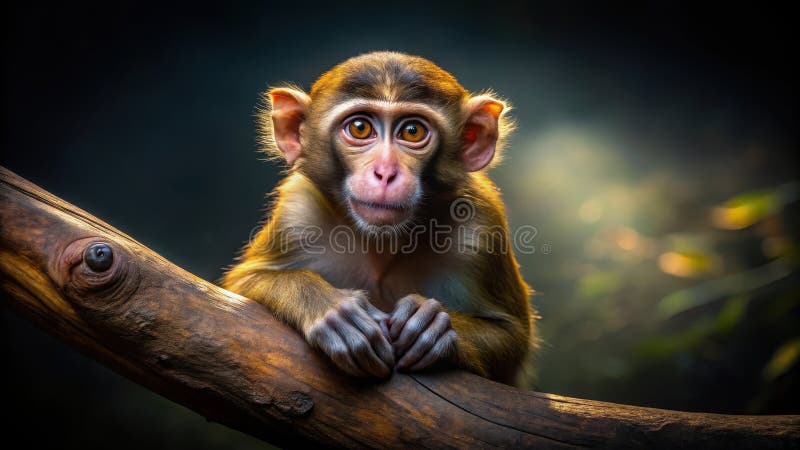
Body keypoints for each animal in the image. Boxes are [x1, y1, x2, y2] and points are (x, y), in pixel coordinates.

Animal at [222, 52, 535, 385]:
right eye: (360, 128)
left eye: (412, 131)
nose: (385, 172)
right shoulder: (297, 210)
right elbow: (242, 285)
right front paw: (330, 308)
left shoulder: (481, 224)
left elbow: (511, 337)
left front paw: (433, 325)